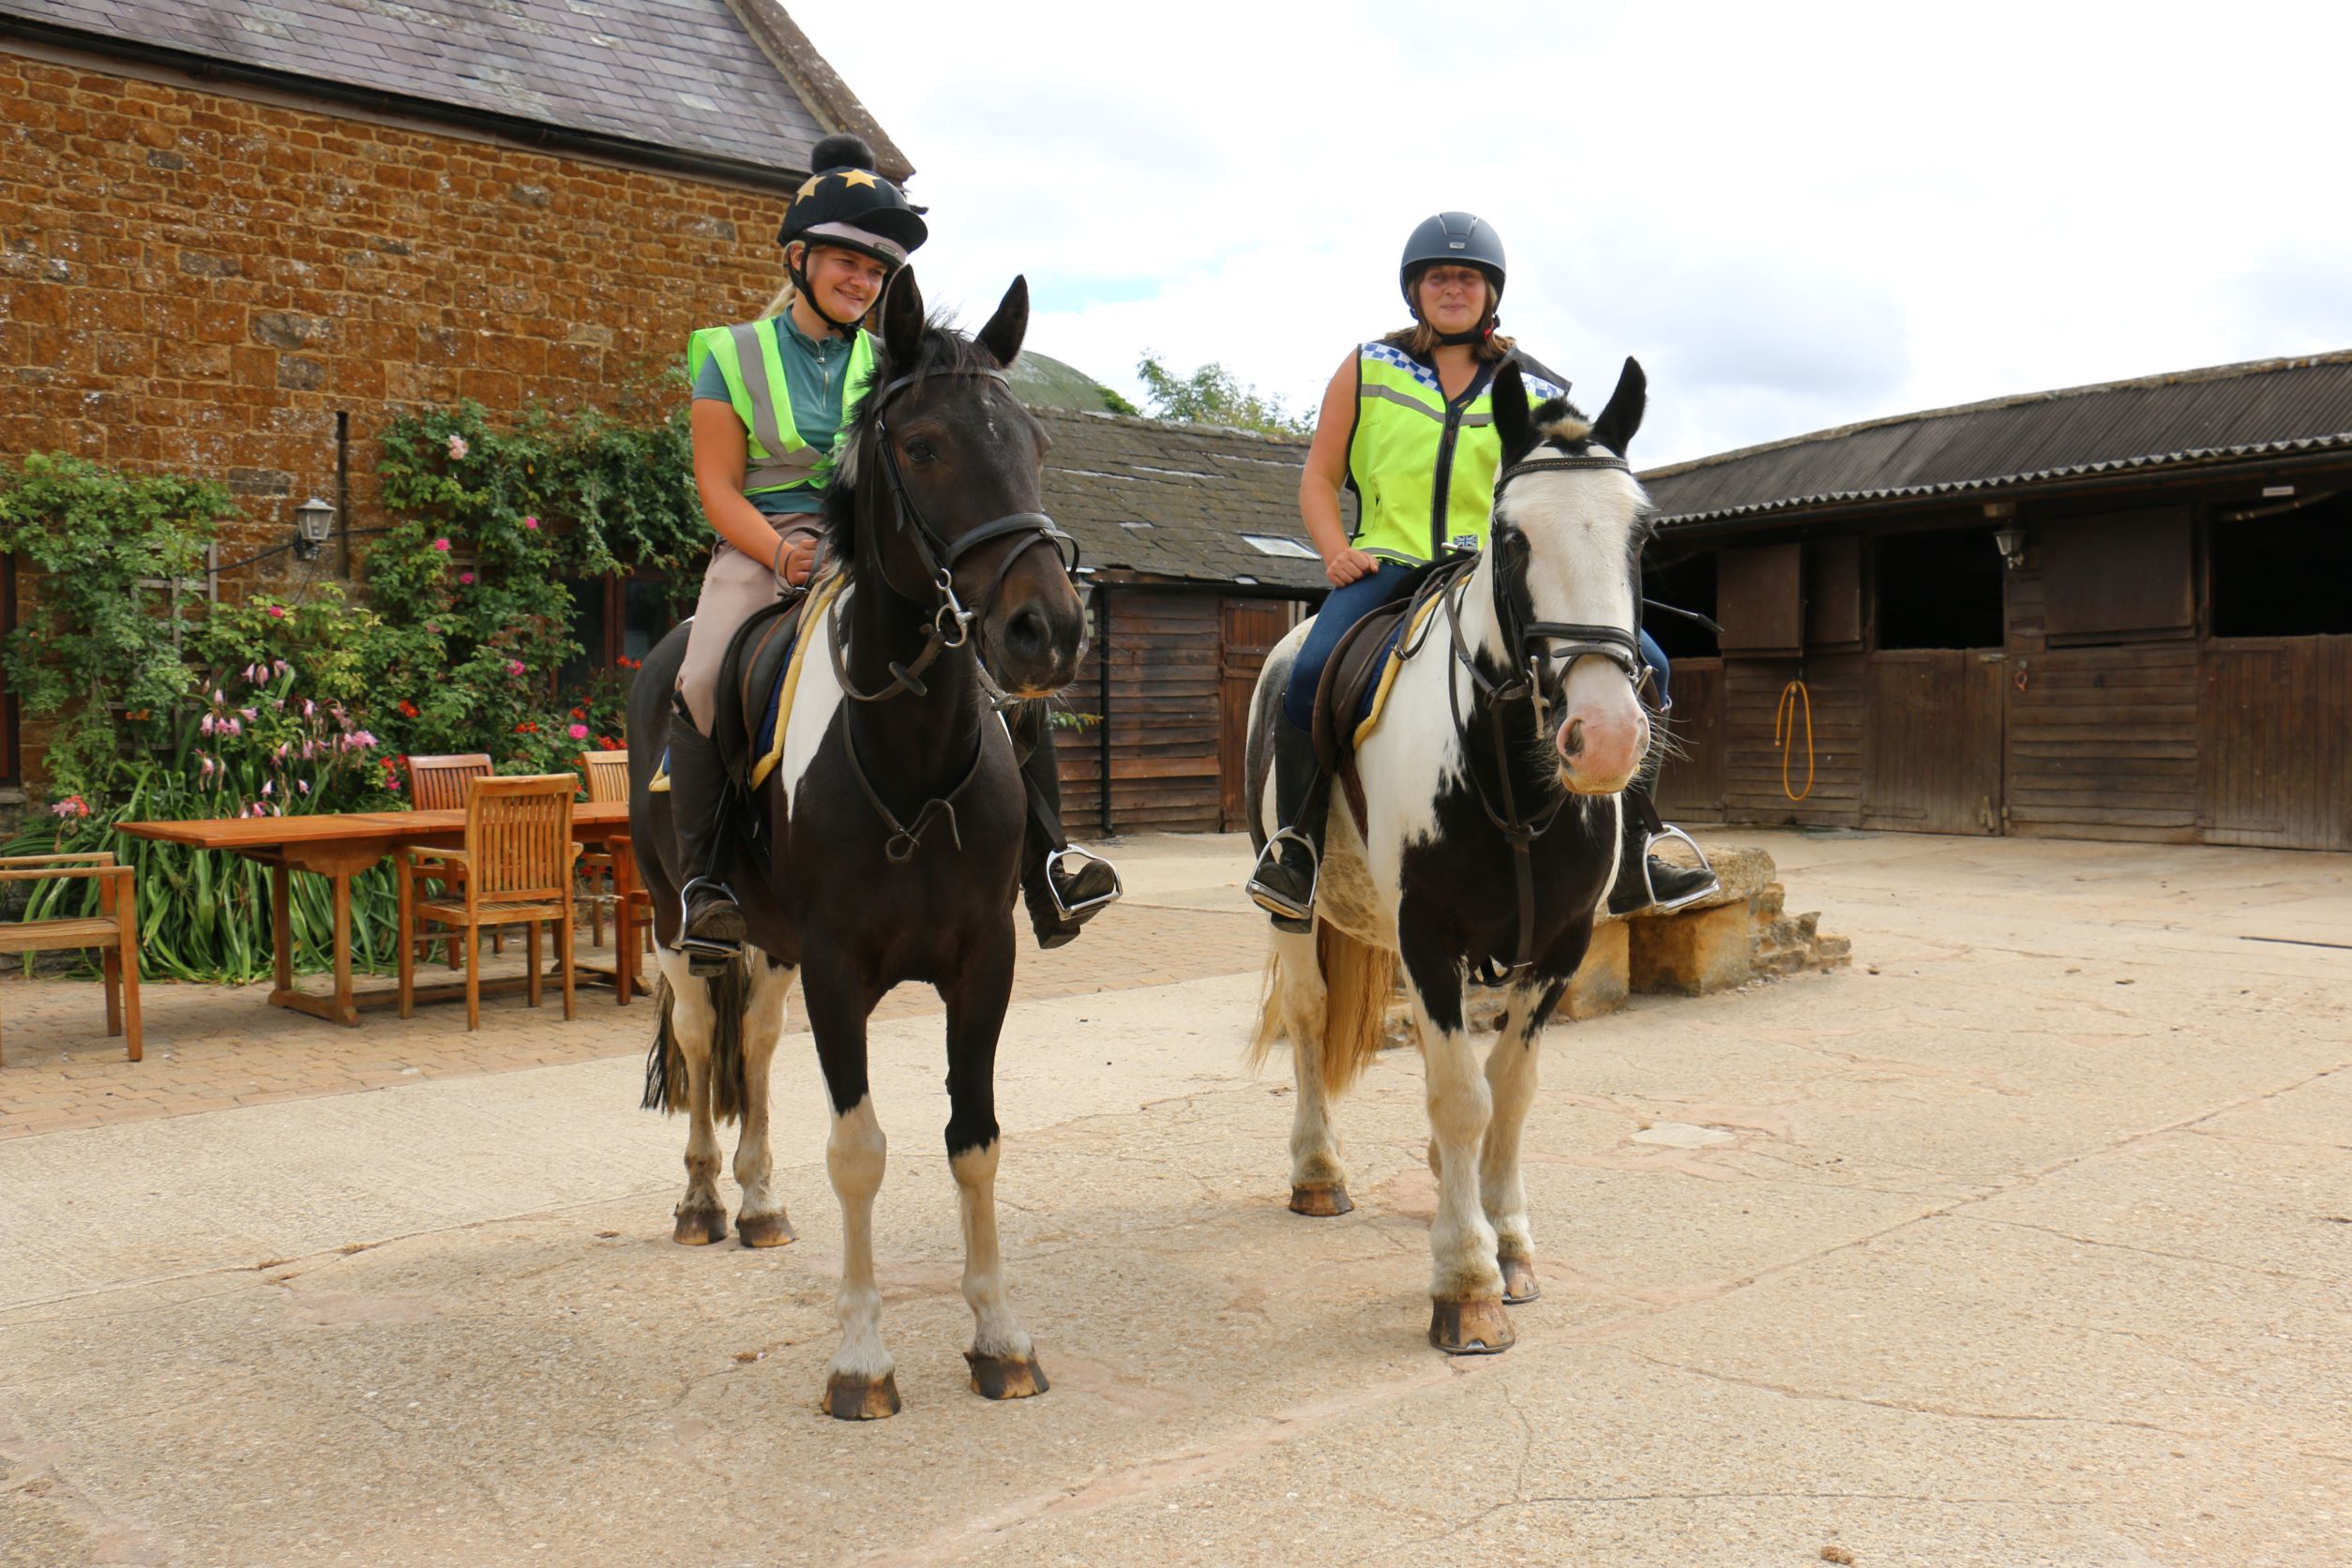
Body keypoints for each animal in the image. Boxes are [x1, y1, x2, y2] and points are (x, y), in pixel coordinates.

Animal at [629, 269, 1087, 1420]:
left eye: (1032, 442)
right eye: (922, 445)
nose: (1049, 630)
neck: (910, 755)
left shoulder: (983, 963)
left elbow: (974, 1139)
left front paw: (1000, 1339)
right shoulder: (840, 971)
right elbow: (859, 1150)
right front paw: (862, 1360)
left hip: (773, 950)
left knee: (749, 1046)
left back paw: (756, 1204)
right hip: (680, 927)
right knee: (699, 1040)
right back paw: (703, 1202)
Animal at [1244, 357, 1656, 1355]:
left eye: (1643, 533)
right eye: (1510, 539)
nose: (1607, 738)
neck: (1510, 772)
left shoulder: (1558, 945)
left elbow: (1508, 1089)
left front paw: (1508, 1242)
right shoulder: (1429, 935)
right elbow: (1462, 1094)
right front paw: (1465, 1281)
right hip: (1292, 910)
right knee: (1310, 1018)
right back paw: (1318, 1172)